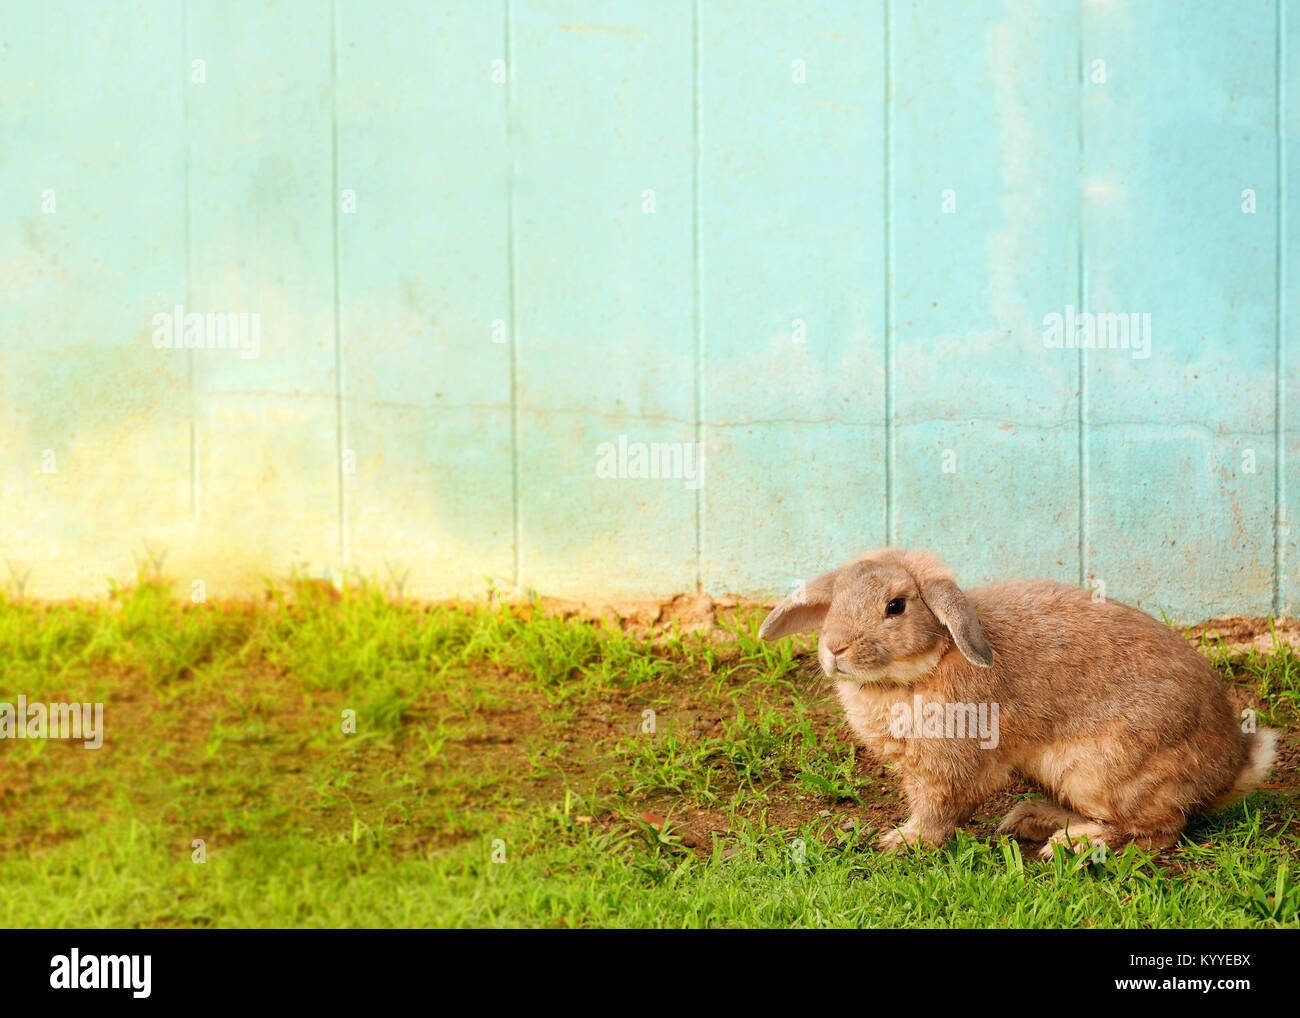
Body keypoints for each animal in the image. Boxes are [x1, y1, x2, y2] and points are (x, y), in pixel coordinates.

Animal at [758, 548, 1278, 858]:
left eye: (896, 606)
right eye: (835, 602)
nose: (836, 649)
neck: (932, 661)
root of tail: (1233, 767)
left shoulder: (947, 769)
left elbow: (938, 812)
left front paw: (900, 841)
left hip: (1103, 772)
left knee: (1159, 828)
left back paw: (1071, 845)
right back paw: (1031, 820)